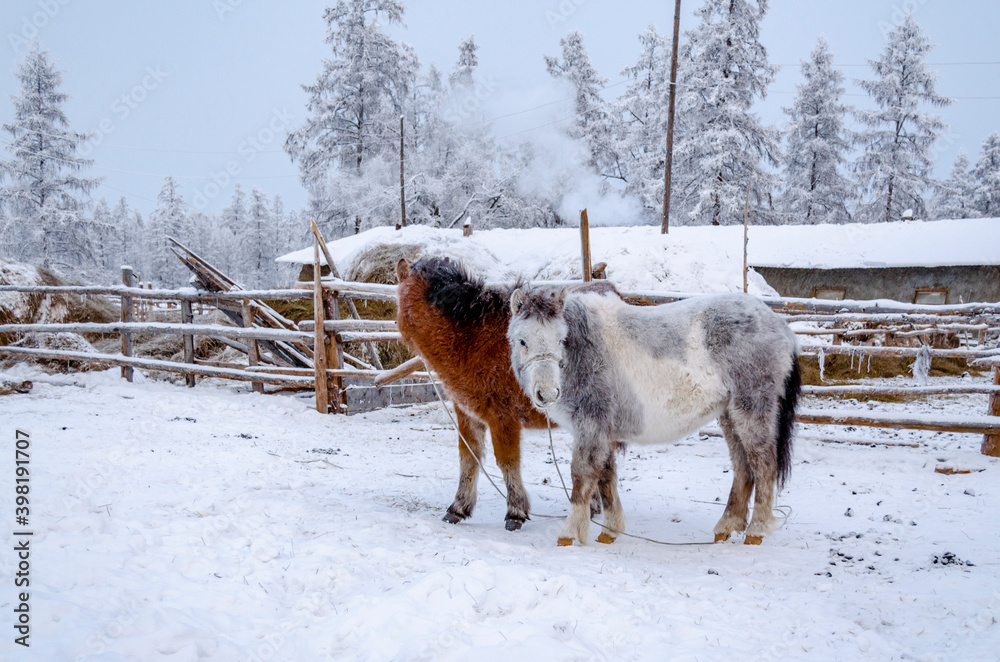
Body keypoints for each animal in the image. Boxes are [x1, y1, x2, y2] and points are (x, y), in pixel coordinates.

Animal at [395, 257, 618, 531]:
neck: (472, 341)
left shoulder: (502, 418)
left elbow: (507, 462)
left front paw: (515, 511)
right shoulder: (467, 415)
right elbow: (468, 459)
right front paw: (458, 508)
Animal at [507, 287, 801, 546]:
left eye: (561, 340)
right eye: (522, 341)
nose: (547, 393)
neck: (585, 352)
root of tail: (781, 326)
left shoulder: (590, 427)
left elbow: (582, 477)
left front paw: (568, 534)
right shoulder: (603, 431)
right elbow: (606, 478)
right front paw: (610, 531)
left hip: (752, 408)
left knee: (763, 465)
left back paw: (756, 532)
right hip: (730, 415)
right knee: (743, 468)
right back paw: (726, 528)